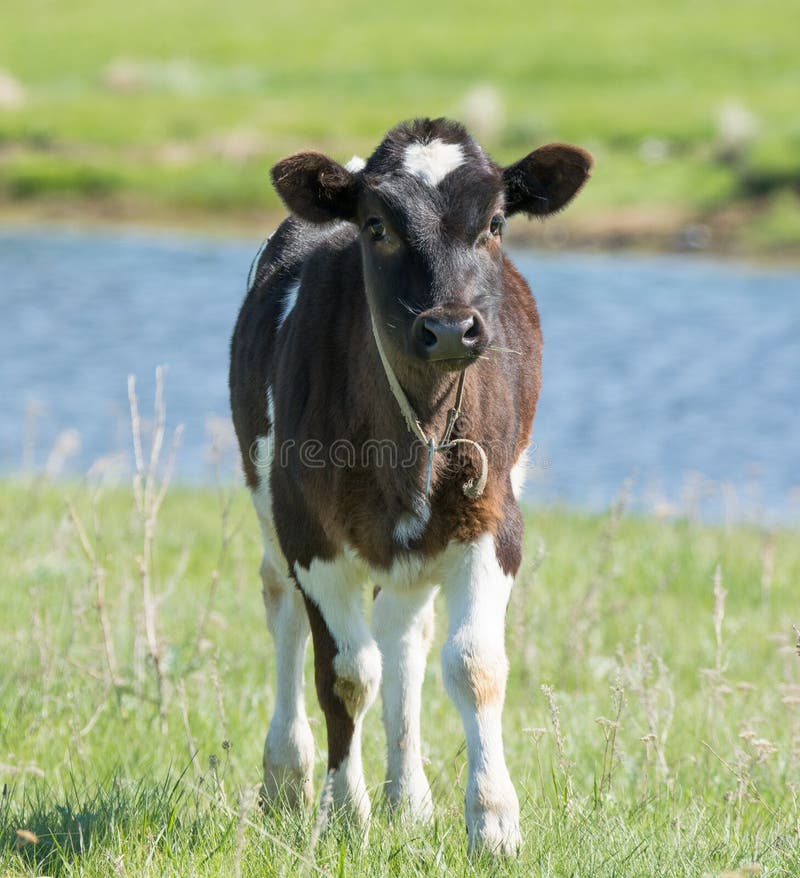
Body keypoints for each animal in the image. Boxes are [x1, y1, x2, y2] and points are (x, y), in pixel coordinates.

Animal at [229, 117, 591, 854]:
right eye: (377, 225)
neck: (415, 425)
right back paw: (287, 776)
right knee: (284, 611)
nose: (450, 327)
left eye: (495, 223)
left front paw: (493, 819)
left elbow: (475, 665)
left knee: (405, 633)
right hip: (270, 509)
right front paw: (345, 813)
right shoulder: (310, 534)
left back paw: (409, 796)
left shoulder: (494, 521)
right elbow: (344, 674)